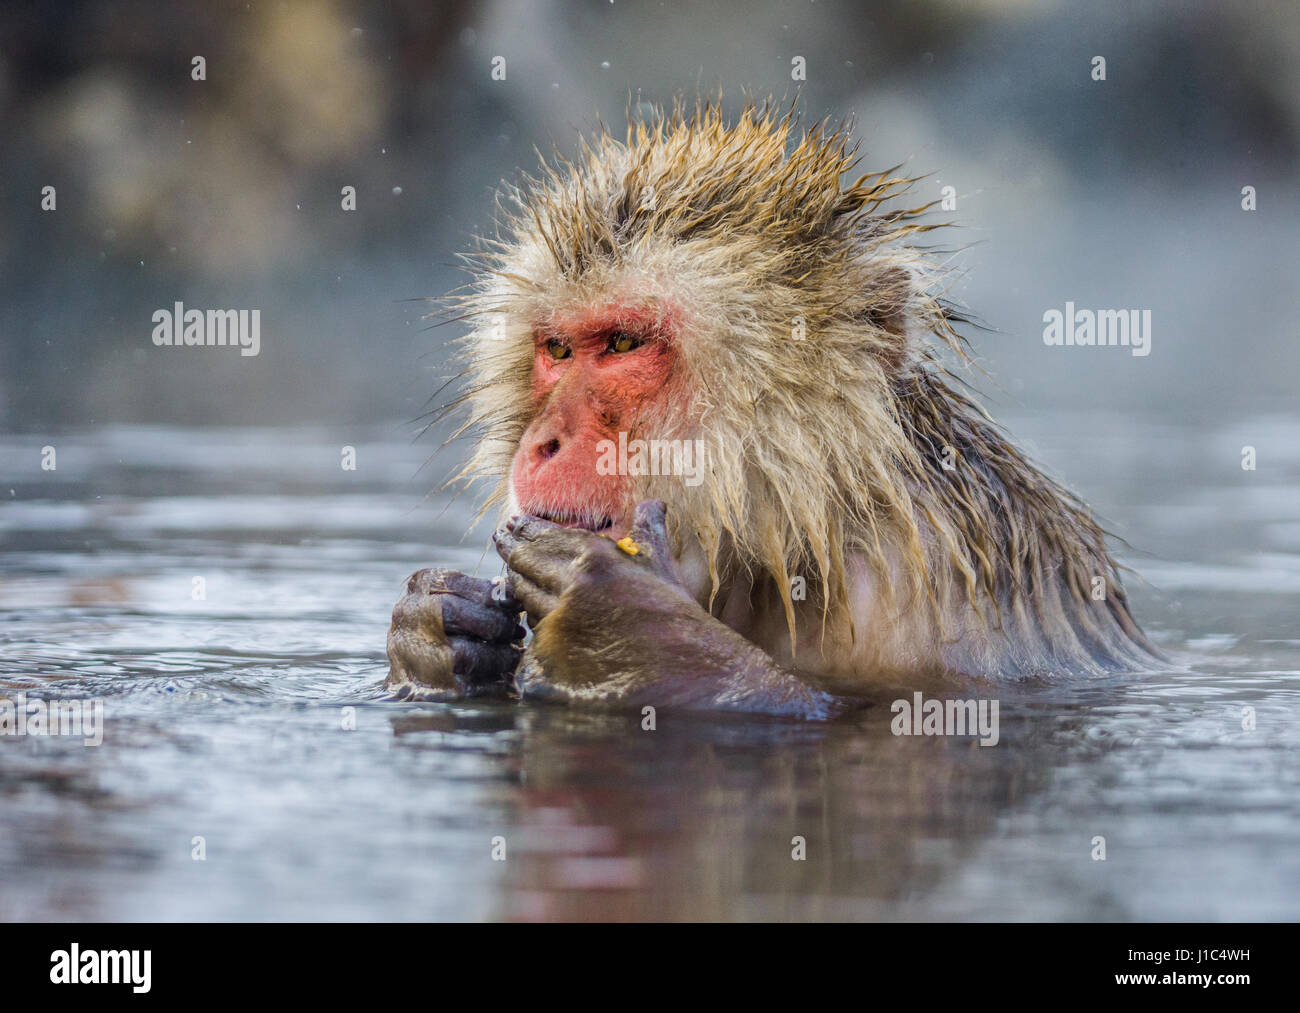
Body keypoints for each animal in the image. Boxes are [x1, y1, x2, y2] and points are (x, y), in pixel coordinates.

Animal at [385, 100, 1159, 717]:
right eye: (557, 349)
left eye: (624, 343)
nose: (544, 440)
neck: (806, 528)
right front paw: (436, 629)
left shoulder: (915, 598)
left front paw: (620, 624)